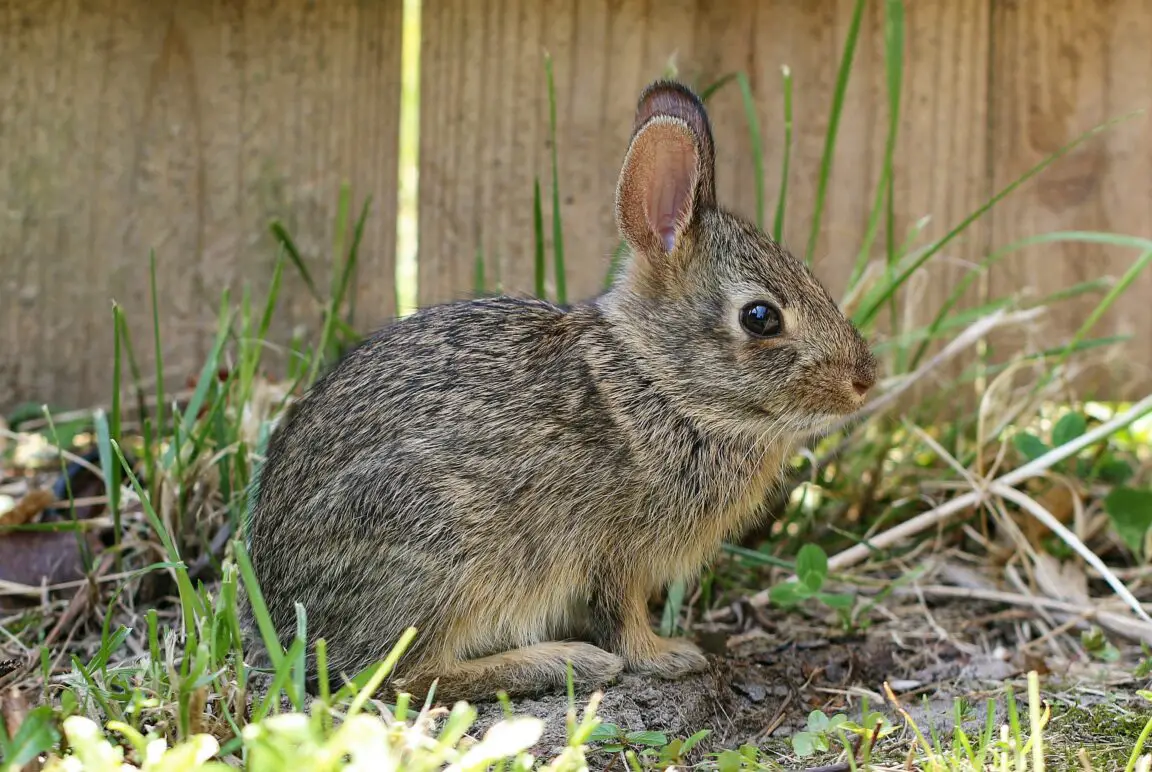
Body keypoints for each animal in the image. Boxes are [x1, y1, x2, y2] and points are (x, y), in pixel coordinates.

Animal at [239, 79, 878, 705]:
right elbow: (622, 620)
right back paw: (563, 662)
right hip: (440, 545)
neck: (657, 381)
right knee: (403, 675)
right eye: (761, 318)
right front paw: (669, 656)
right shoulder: (615, 553)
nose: (863, 382)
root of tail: (282, 608)